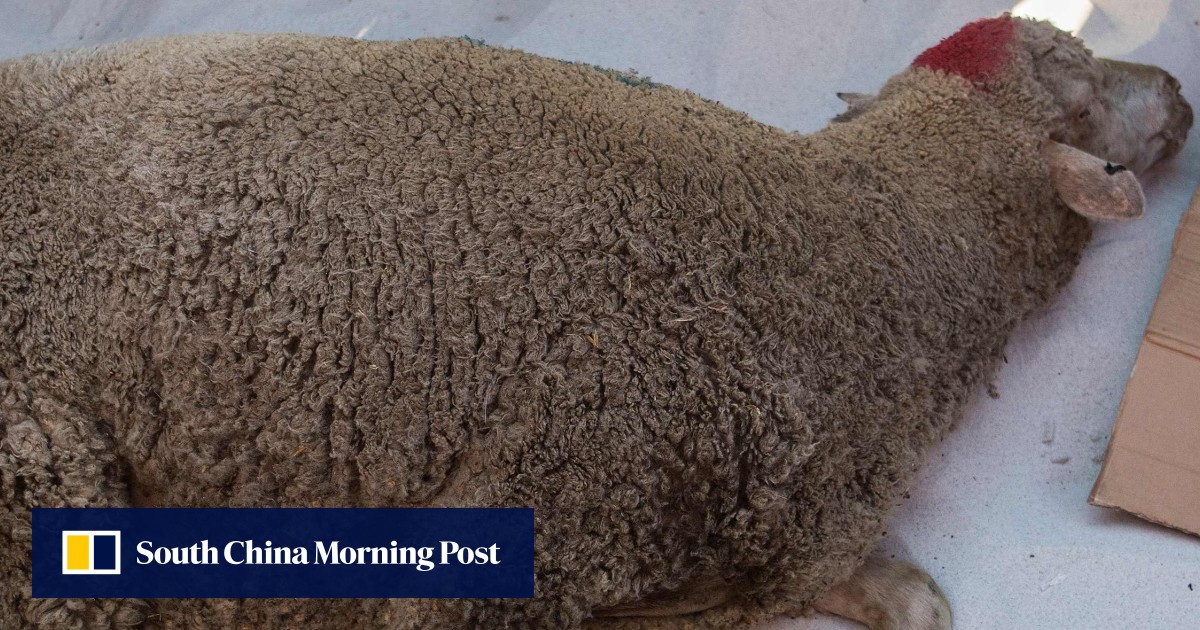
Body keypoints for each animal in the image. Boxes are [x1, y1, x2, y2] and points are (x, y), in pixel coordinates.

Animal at [0, 14, 1191, 630]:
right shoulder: (538, 516)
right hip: (45, 477)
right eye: (1083, 83)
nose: (1179, 90)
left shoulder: (790, 546)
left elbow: (908, 601)